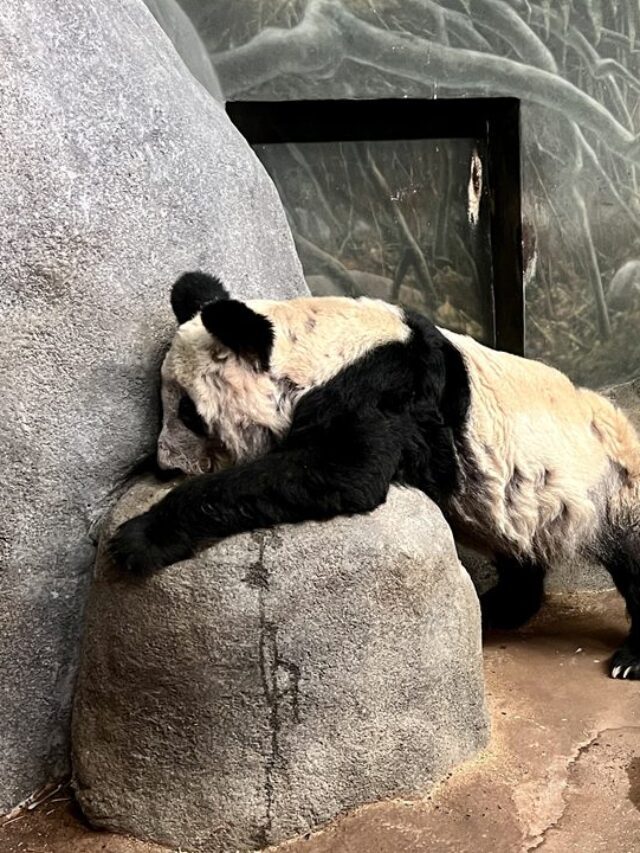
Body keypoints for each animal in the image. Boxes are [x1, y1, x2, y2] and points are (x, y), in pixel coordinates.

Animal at [110, 271, 640, 680]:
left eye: (189, 412)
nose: (167, 464)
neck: (319, 346)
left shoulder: (383, 390)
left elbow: (345, 472)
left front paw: (137, 539)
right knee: (520, 545)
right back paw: (503, 606)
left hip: (613, 488)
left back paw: (629, 659)